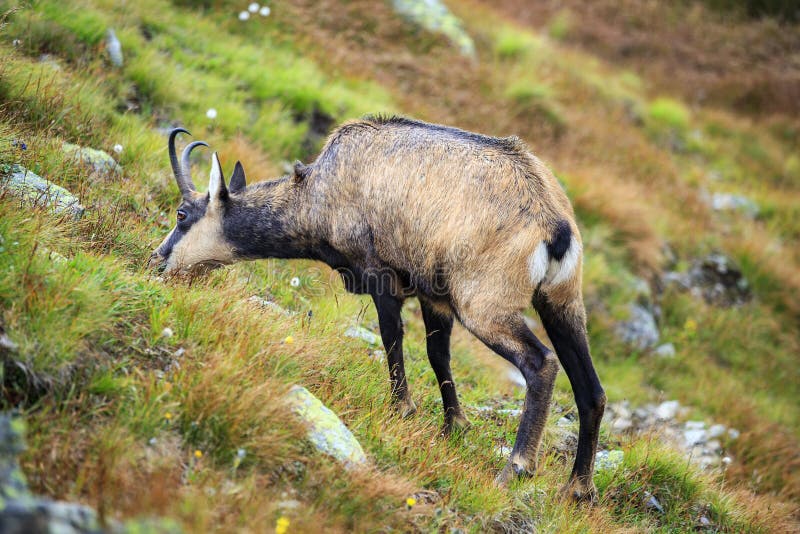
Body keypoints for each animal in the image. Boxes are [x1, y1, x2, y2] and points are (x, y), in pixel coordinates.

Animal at [149, 117, 606, 500]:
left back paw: (516, 468)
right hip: (561, 303)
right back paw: (578, 489)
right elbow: (437, 355)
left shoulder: (383, 277)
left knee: (540, 363)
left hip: (485, 308)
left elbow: (392, 339)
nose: (157, 261)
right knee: (591, 390)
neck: (320, 192)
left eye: (182, 214)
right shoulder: (434, 295)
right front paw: (453, 427)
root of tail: (555, 226)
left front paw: (402, 408)